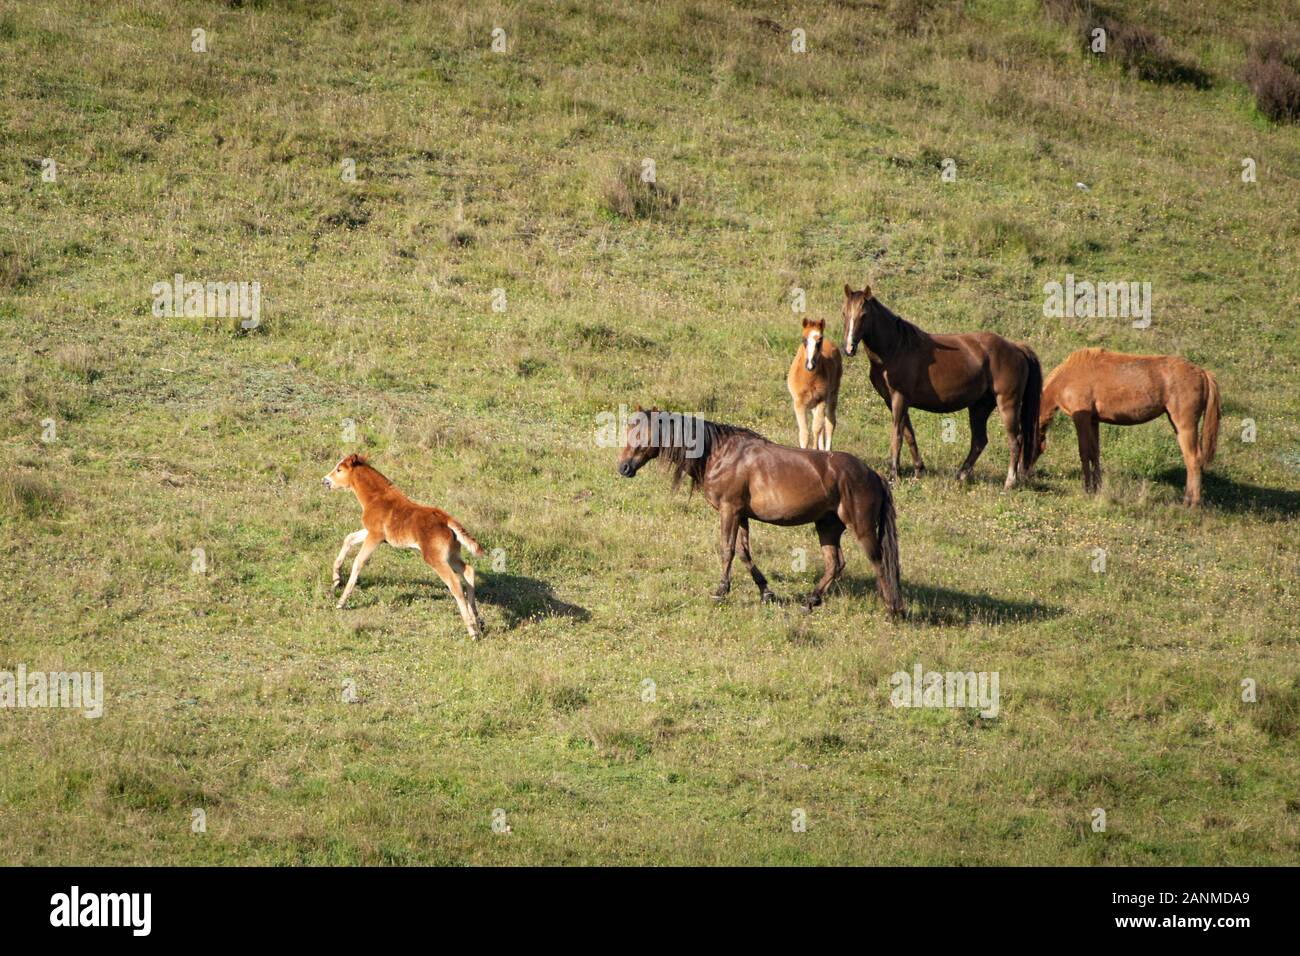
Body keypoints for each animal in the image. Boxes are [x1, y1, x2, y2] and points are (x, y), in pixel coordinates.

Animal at [323, 454, 486, 637]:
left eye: (339, 469)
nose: (325, 481)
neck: (376, 498)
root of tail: (446, 519)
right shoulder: (372, 533)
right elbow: (349, 539)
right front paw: (336, 578)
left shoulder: (375, 536)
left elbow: (359, 561)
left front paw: (341, 601)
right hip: (452, 554)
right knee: (469, 571)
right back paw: (478, 620)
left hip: (435, 557)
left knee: (455, 582)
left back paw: (471, 629)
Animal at [616, 409, 904, 616]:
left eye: (641, 435)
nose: (623, 467)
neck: (719, 453)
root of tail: (874, 475)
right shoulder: (741, 515)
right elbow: (744, 553)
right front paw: (766, 592)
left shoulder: (729, 510)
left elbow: (727, 550)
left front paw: (720, 591)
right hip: (827, 526)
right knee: (835, 564)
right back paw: (810, 602)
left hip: (861, 528)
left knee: (879, 562)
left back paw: (891, 609)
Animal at [787, 316, 843, 450]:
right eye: (804, 339)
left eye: (819, 340)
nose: (810, 365)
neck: (809, 378)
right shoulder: (799, 403)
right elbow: (804, 433)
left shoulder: (822, 400)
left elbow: (816, 428)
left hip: (833, 396)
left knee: (830, 423)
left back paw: (827, 450)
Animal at [841, 284, 1043, 489]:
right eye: (844, 313)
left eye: (864, 315)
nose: (849, 348)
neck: (895, 348)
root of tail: (1016, 348)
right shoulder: (892, 401)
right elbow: (909, 434)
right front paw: (918, 470)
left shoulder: (899, 399)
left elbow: (897, 436)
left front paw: (893, 476)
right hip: (980, 407)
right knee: (980, 441)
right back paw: (961, 475)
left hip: (1007, 404)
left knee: (1015, 440)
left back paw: (1009, 482)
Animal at [1031, 348, 1220, 507]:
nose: (1027, 474)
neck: (1067, 377)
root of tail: (1203, 373)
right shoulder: (1093, 420)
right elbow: (1094, 453)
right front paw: (1097, 487)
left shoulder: (1081, 419)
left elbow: (1084, 452)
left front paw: (1088, 489)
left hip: (1186, 425)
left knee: (1193, 460)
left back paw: (1191, 503)